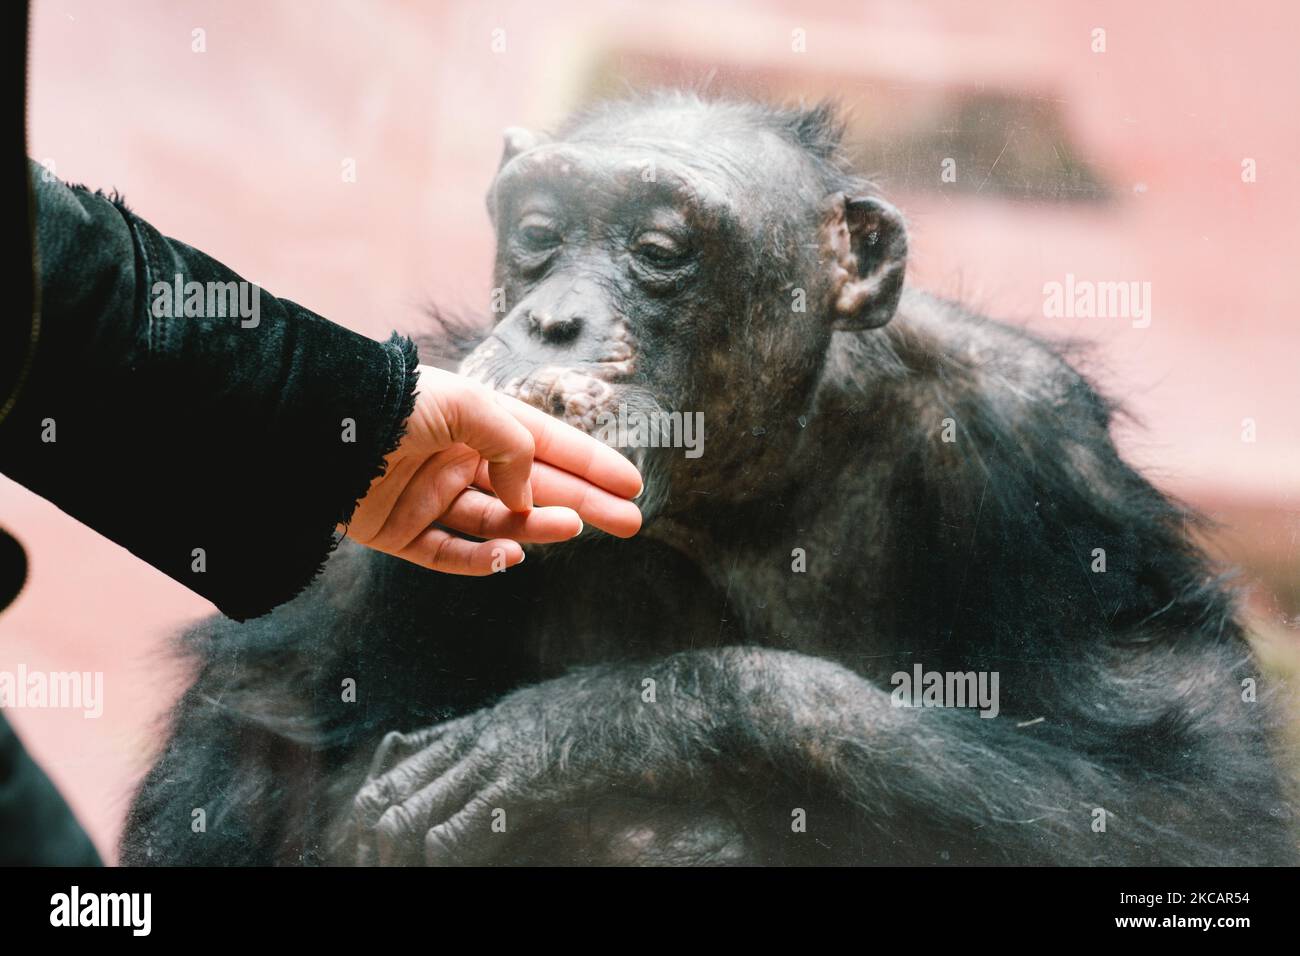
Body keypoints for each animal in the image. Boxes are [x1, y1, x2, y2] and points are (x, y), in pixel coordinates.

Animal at [121, 92, 1296, 866]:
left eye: (657, 250)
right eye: (539, 233)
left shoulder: (1051, 459)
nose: (554, 318)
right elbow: (242, 785)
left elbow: (1193, 798)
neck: (739, 485)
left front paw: (596, 731)